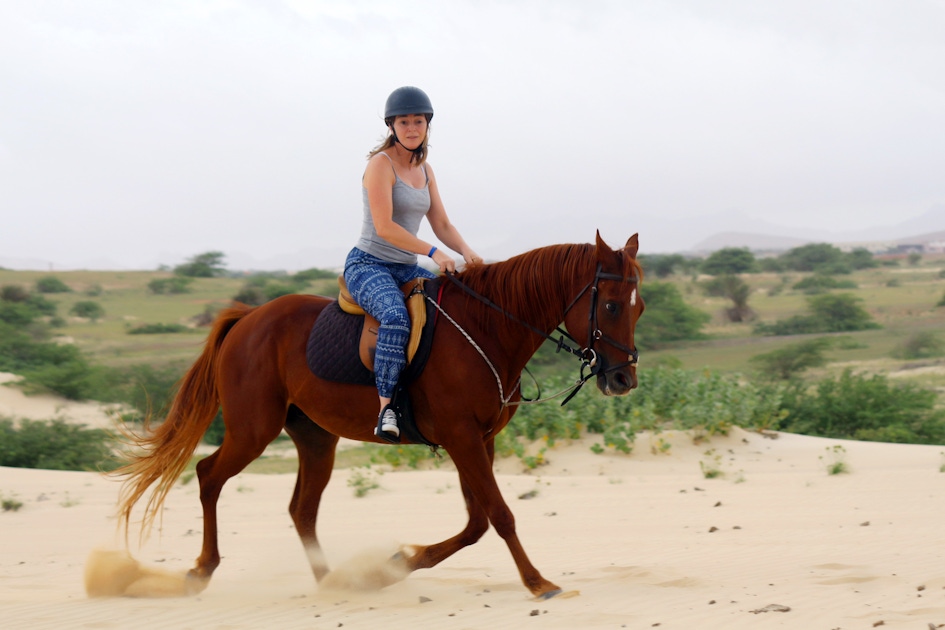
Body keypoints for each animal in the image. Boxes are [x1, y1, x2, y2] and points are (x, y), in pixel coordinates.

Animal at [111, 231, 644, 600]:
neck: (487, 328)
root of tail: (249, 318)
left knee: (302, 509)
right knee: (208, 475)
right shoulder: (462, 437)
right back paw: (202, 569)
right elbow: (499, 515)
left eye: (639, 308)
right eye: (611, 305)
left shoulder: (479, 439)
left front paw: (397, 563)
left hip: (315, 438)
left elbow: (476, 522)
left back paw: (335, 582)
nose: (623, 379)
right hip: (252, 430)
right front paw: (538, 582)